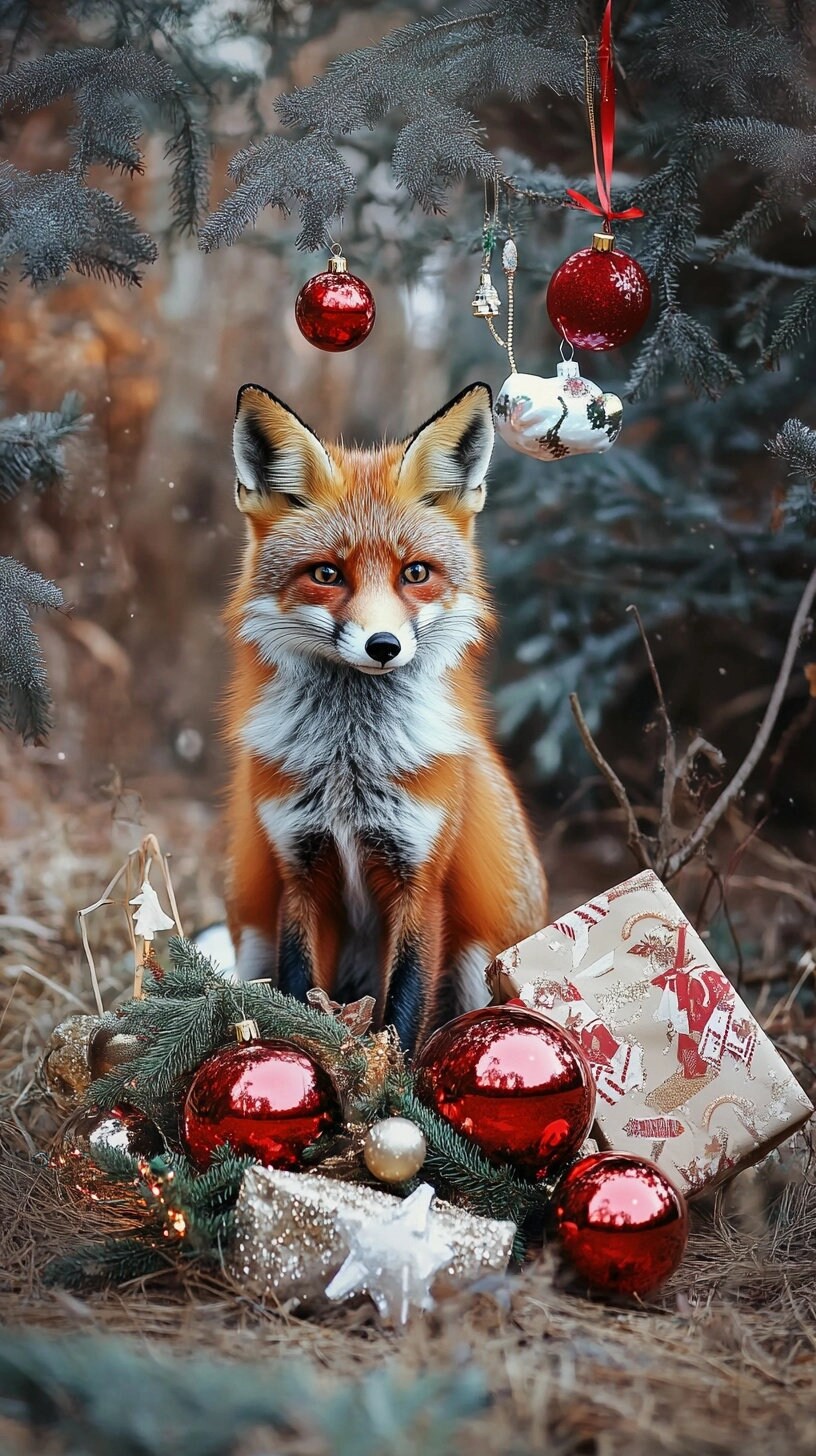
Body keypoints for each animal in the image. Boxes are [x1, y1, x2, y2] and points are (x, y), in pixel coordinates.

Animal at [223, 380, 548, 1051]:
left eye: (415, 573)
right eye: (327, 573)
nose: (383, 646)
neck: (350, 764)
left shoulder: (421, 882)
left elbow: (403, 1008)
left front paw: (384, 1076)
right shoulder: (300, 873)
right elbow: (301, 996)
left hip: (479, 954)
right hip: (254, 938)